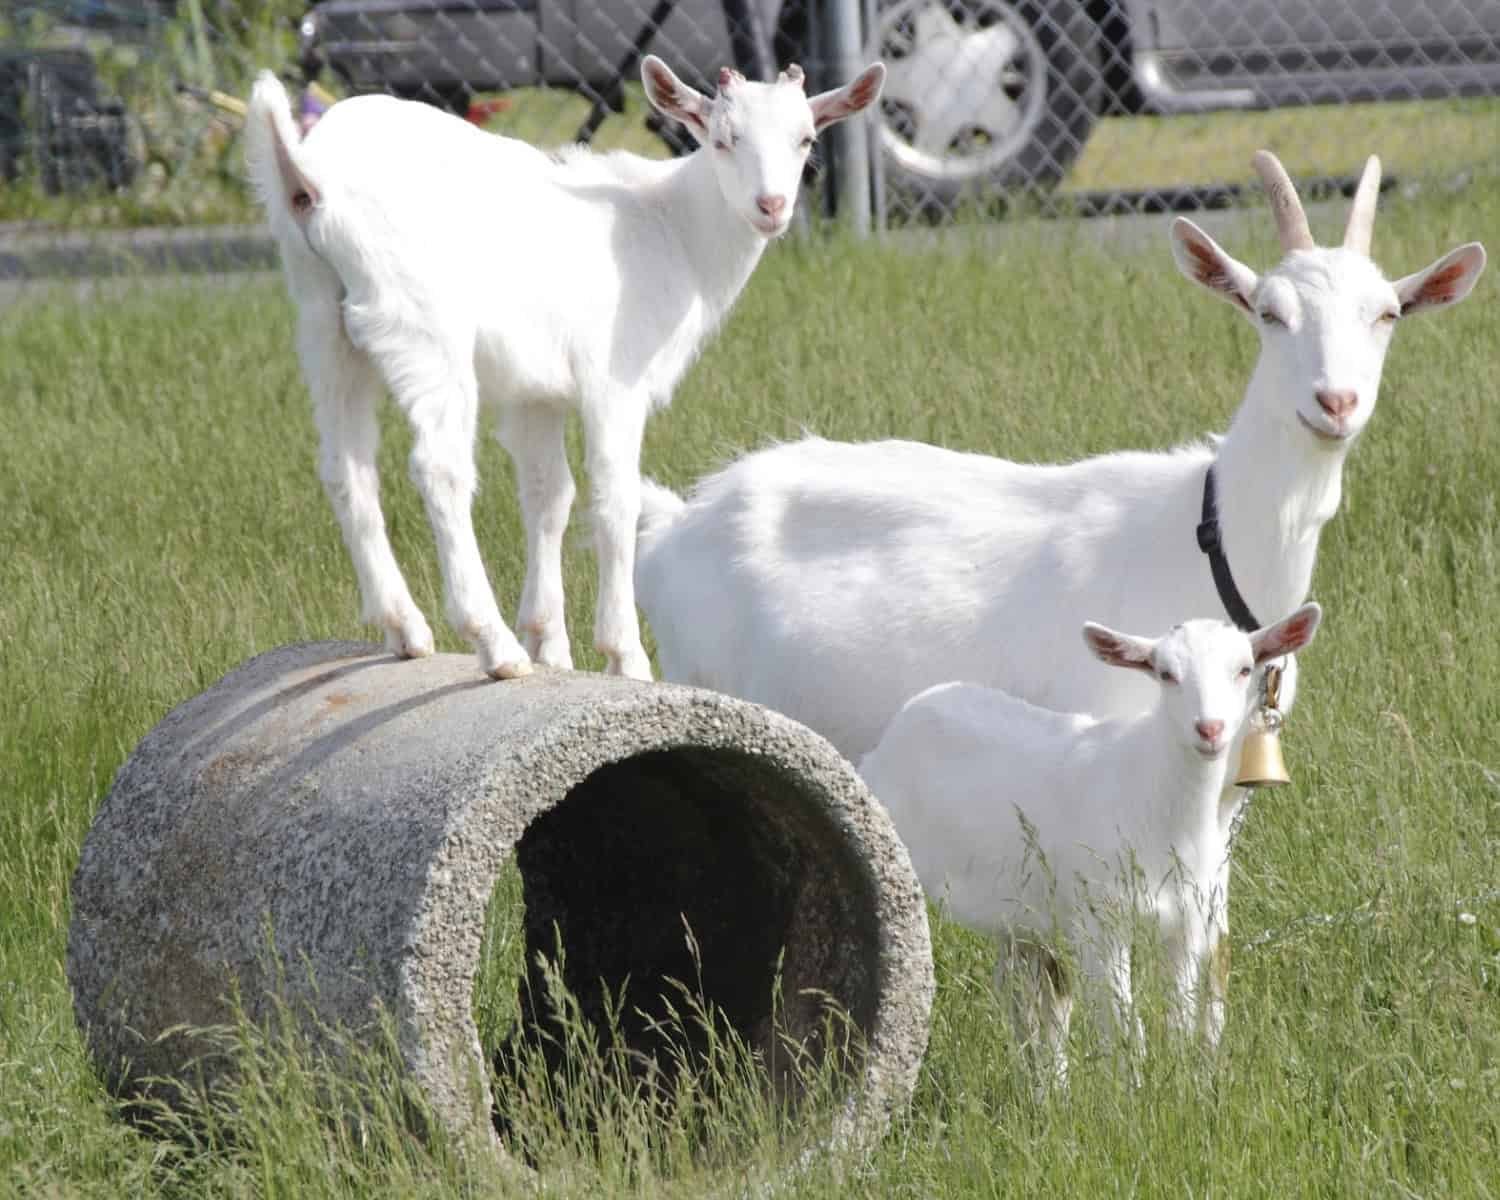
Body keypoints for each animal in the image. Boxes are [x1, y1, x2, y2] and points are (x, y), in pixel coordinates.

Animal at [244, 57, 885, 680]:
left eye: (805, 138)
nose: (770, 207)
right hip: (421, 324)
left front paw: (552, 643)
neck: (672, 227)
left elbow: (549, 494)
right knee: (439, 467)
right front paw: (624, 655)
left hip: (324, 323)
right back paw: (494, 645)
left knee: (346, 468)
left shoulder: (537, 391)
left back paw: (406, 629)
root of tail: (310, 176)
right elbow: (614, 496)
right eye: (724, 139)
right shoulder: (614, 379)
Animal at [859, 603, 1322, 1078]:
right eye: (1165, 673)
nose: (1209, 729)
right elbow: (1123, 1030)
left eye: (1244, 669)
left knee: (1025, 995)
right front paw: (1133, 1089)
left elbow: (1179, 1019)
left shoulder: (1189, 921)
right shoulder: (1100, 921)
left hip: (1021, 911)